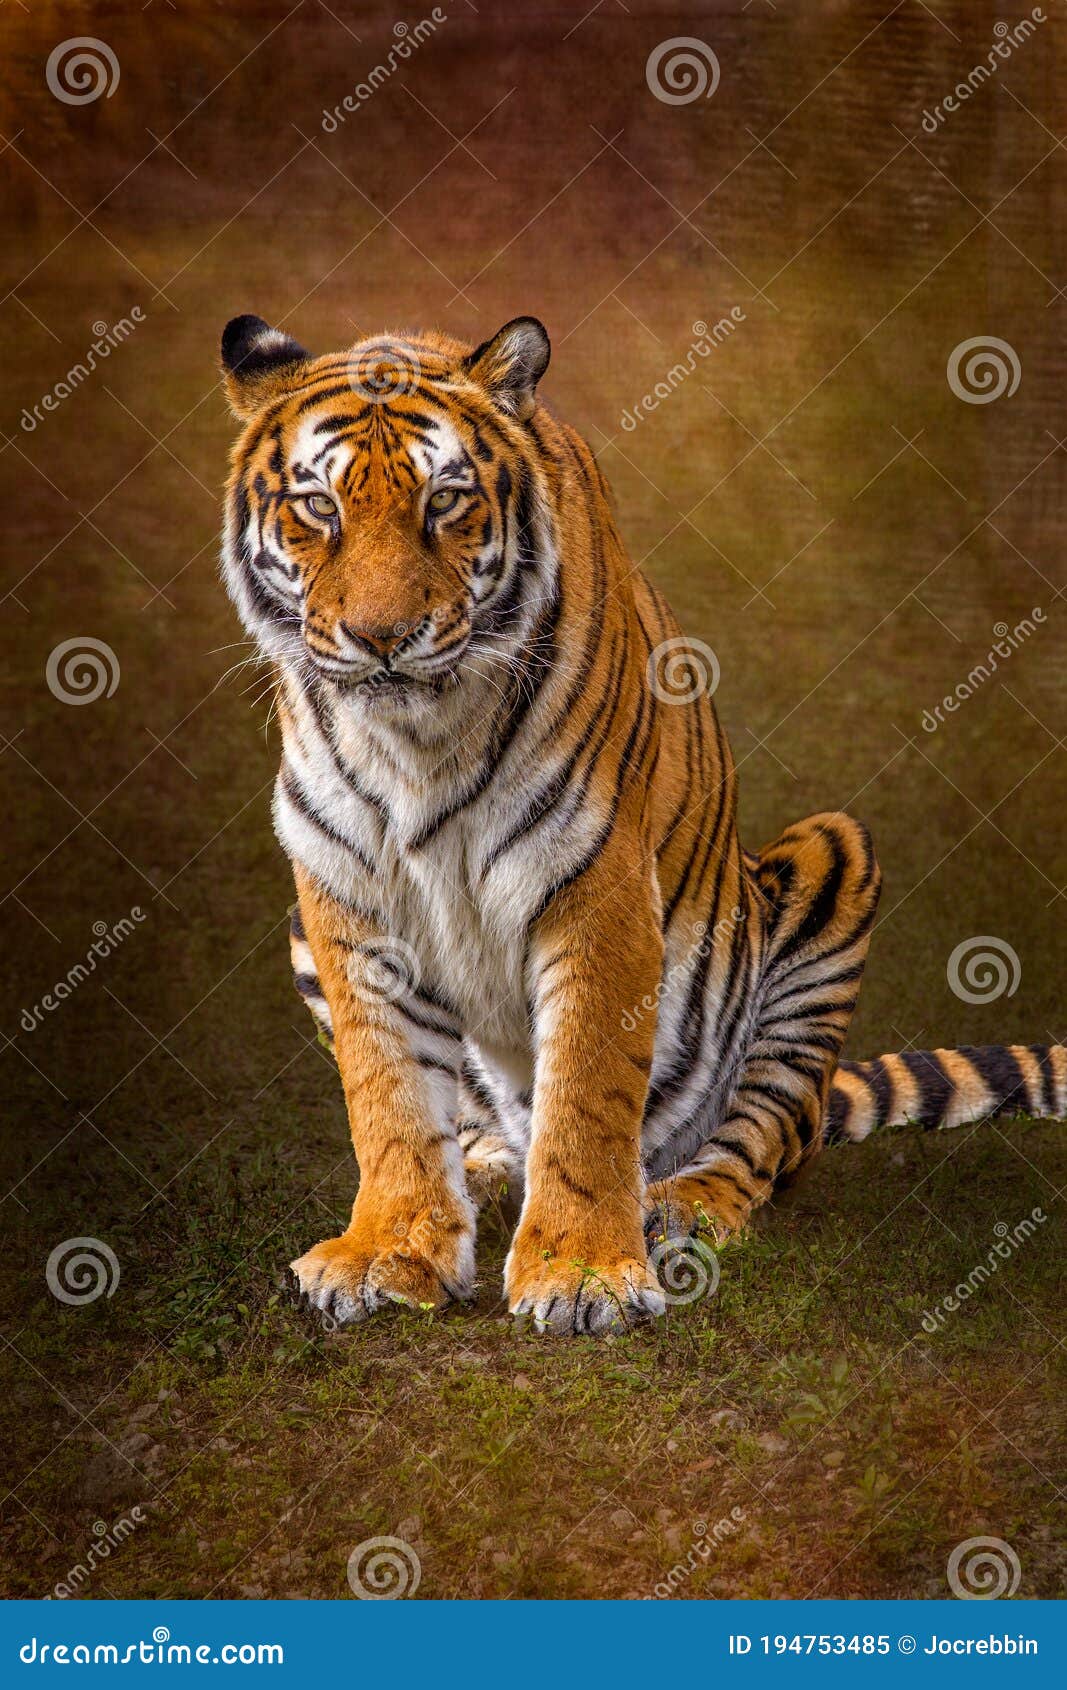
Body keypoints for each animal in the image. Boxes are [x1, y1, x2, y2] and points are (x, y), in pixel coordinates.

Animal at [220, 311, 1066, 1335]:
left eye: (445, 502)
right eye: (318, 508)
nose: (382, 638)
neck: (414, 736)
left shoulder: (596, 884)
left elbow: (587, 1091)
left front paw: (581, 1275)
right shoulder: (347, 895)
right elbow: (388, 1097)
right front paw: (390, 1250)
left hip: (831, 863)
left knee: (760, 1139)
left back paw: (679, 1204)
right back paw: (487, 1166)